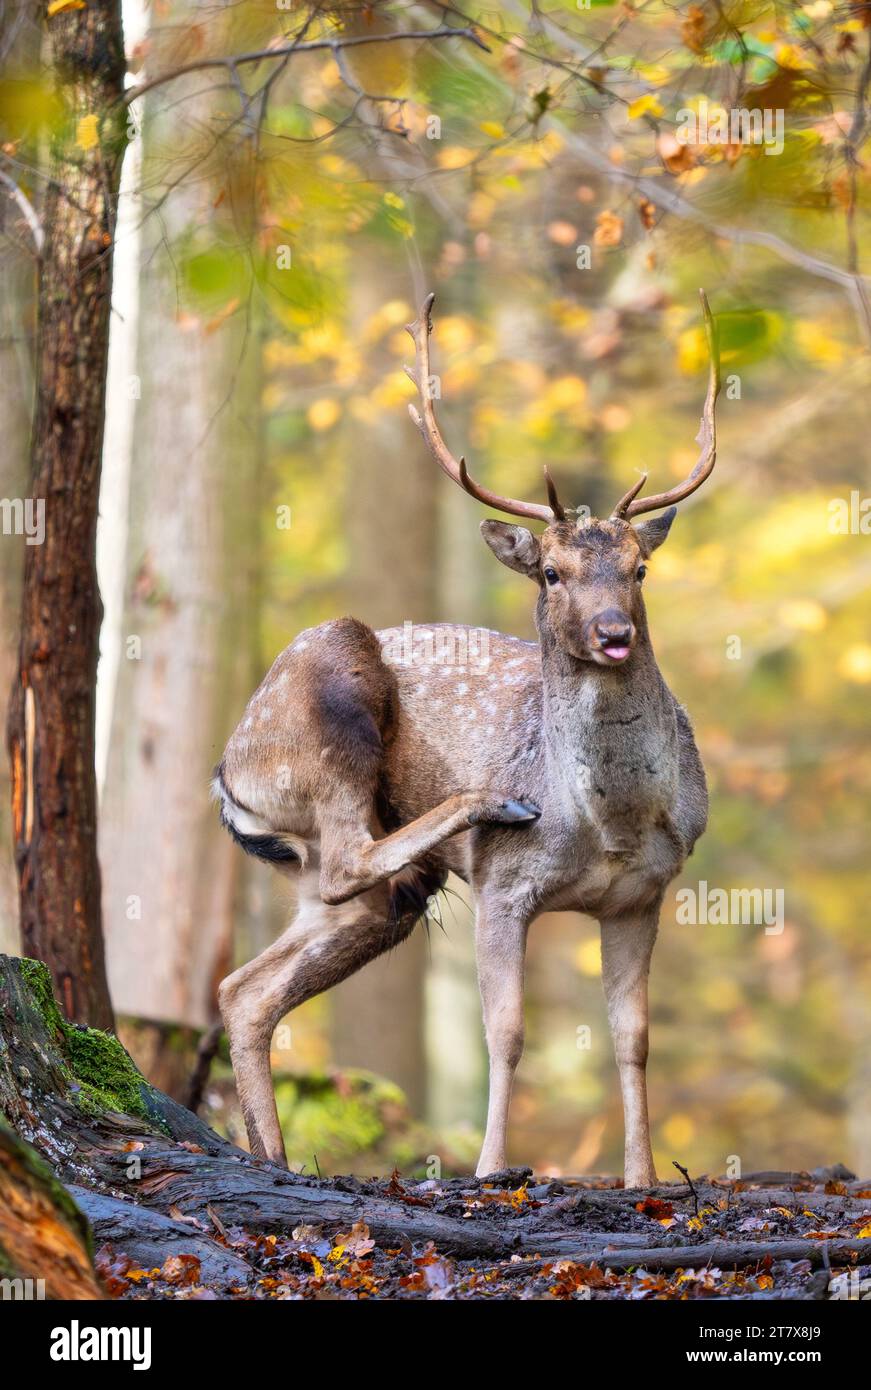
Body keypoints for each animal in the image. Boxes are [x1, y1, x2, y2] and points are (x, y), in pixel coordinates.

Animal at [214, 290, 720, 1187]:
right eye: (551, 572)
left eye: (638, 569)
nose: (614, 633)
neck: (609, 822)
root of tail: (230, 772)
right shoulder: (504, 886)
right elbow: (506, 1031)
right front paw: (489, 1168)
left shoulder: (644, 893)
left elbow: (631, 1038)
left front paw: (642, 1179)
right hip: (322, 715)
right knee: (345, 858)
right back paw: (486, 800)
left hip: (362, 893)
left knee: (249, 987)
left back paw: (274, 1157)